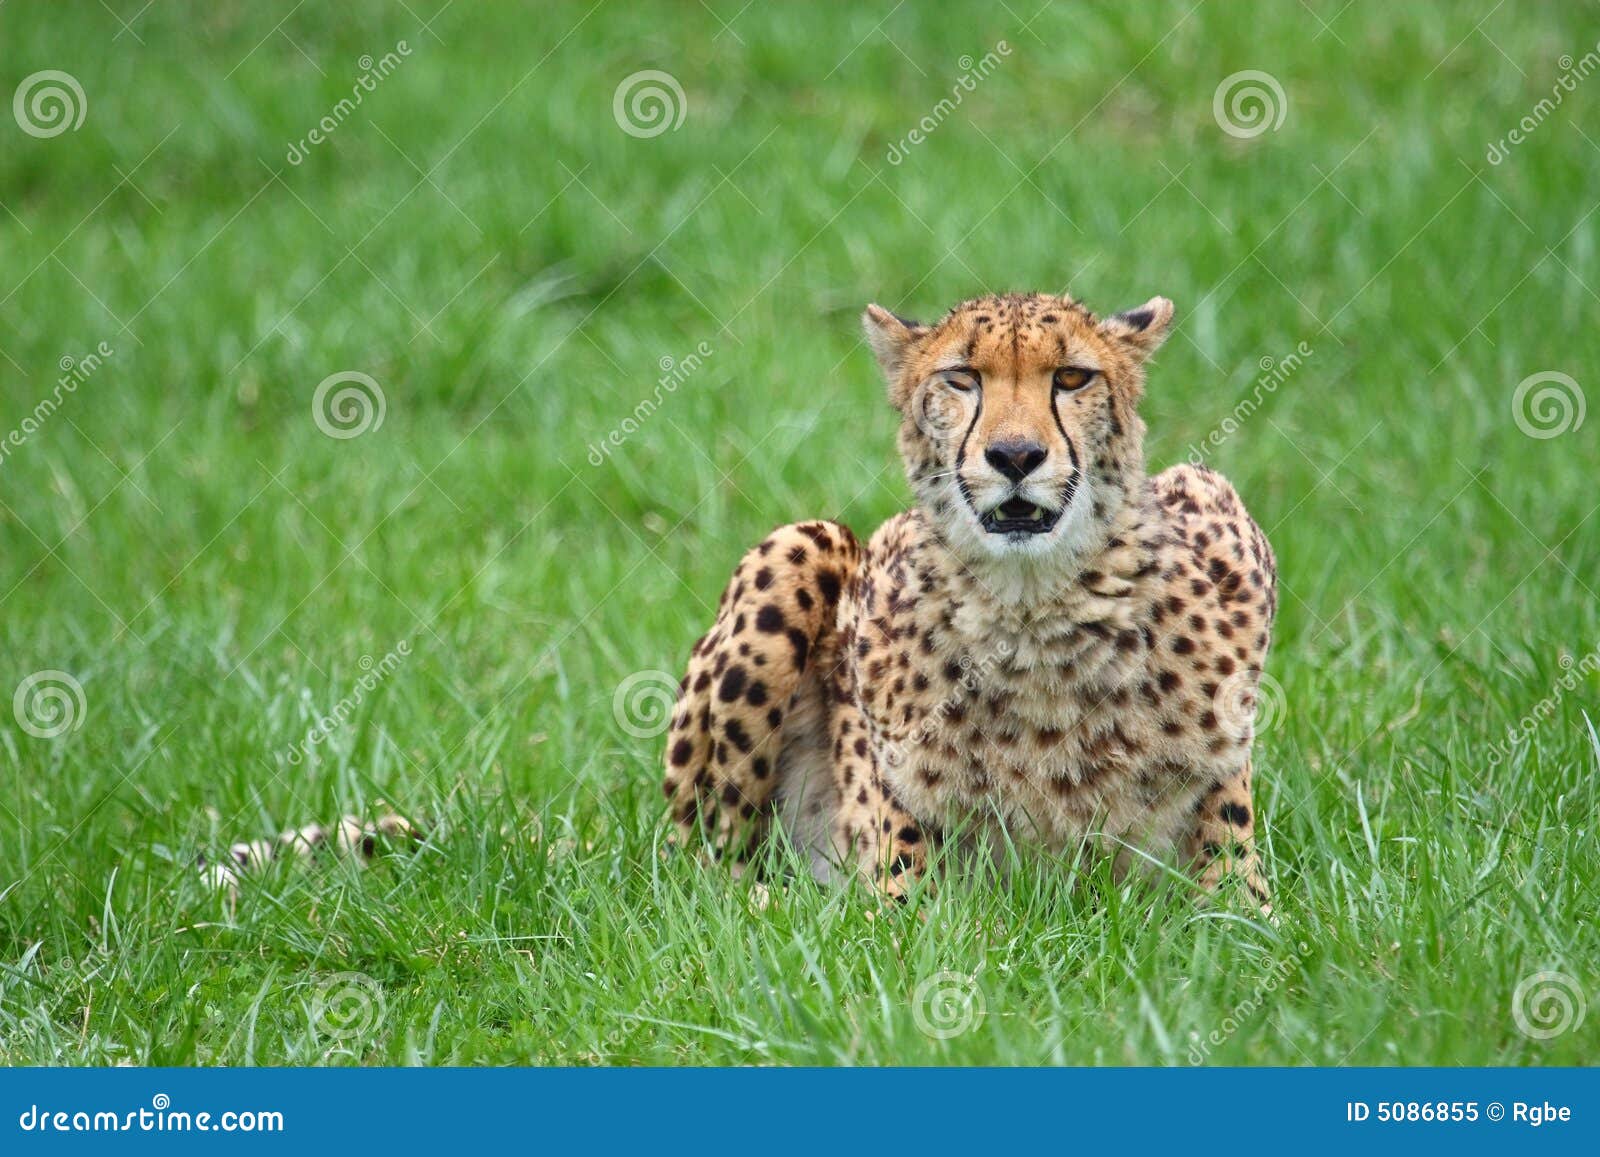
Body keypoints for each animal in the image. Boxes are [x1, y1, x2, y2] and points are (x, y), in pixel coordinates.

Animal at [662, 290, 1277, 912]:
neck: (1036, 611)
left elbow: (1239, 904)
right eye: (961, 378)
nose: (1015, 455)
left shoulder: (1219, 506)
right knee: (704, 873)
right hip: (802, 545)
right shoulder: (898, 899)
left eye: (1072, 377)